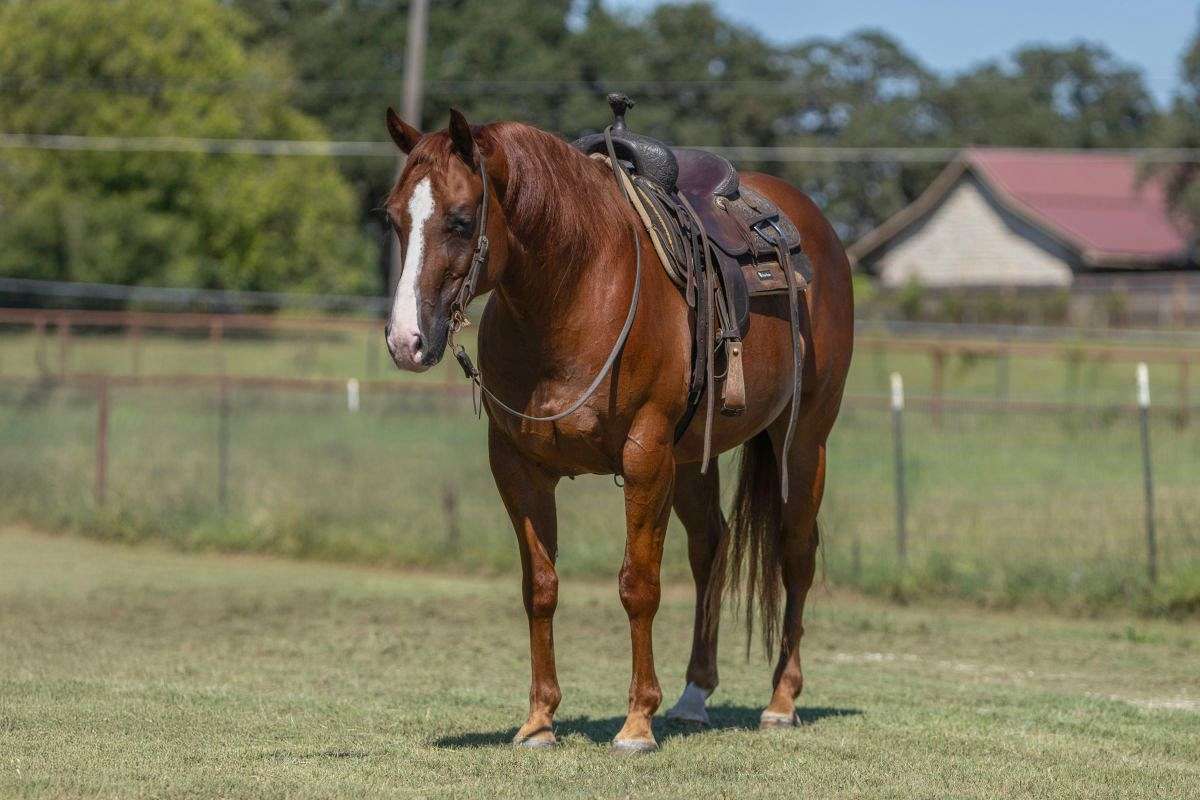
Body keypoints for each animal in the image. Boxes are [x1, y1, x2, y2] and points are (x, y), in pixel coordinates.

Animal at [382, 107, 854, 752]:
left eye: (459, 220)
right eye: (392, 218)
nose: (406, 341)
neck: (575, 292)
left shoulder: (644, 456)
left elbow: (639, 586)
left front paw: (637, 722)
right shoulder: (518, 468)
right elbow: (540, 587)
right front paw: (539, 721)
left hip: (803, 442)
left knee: (795, 553)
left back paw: (781, 701)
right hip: (693, 460)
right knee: (710, 548)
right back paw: (694, 696)